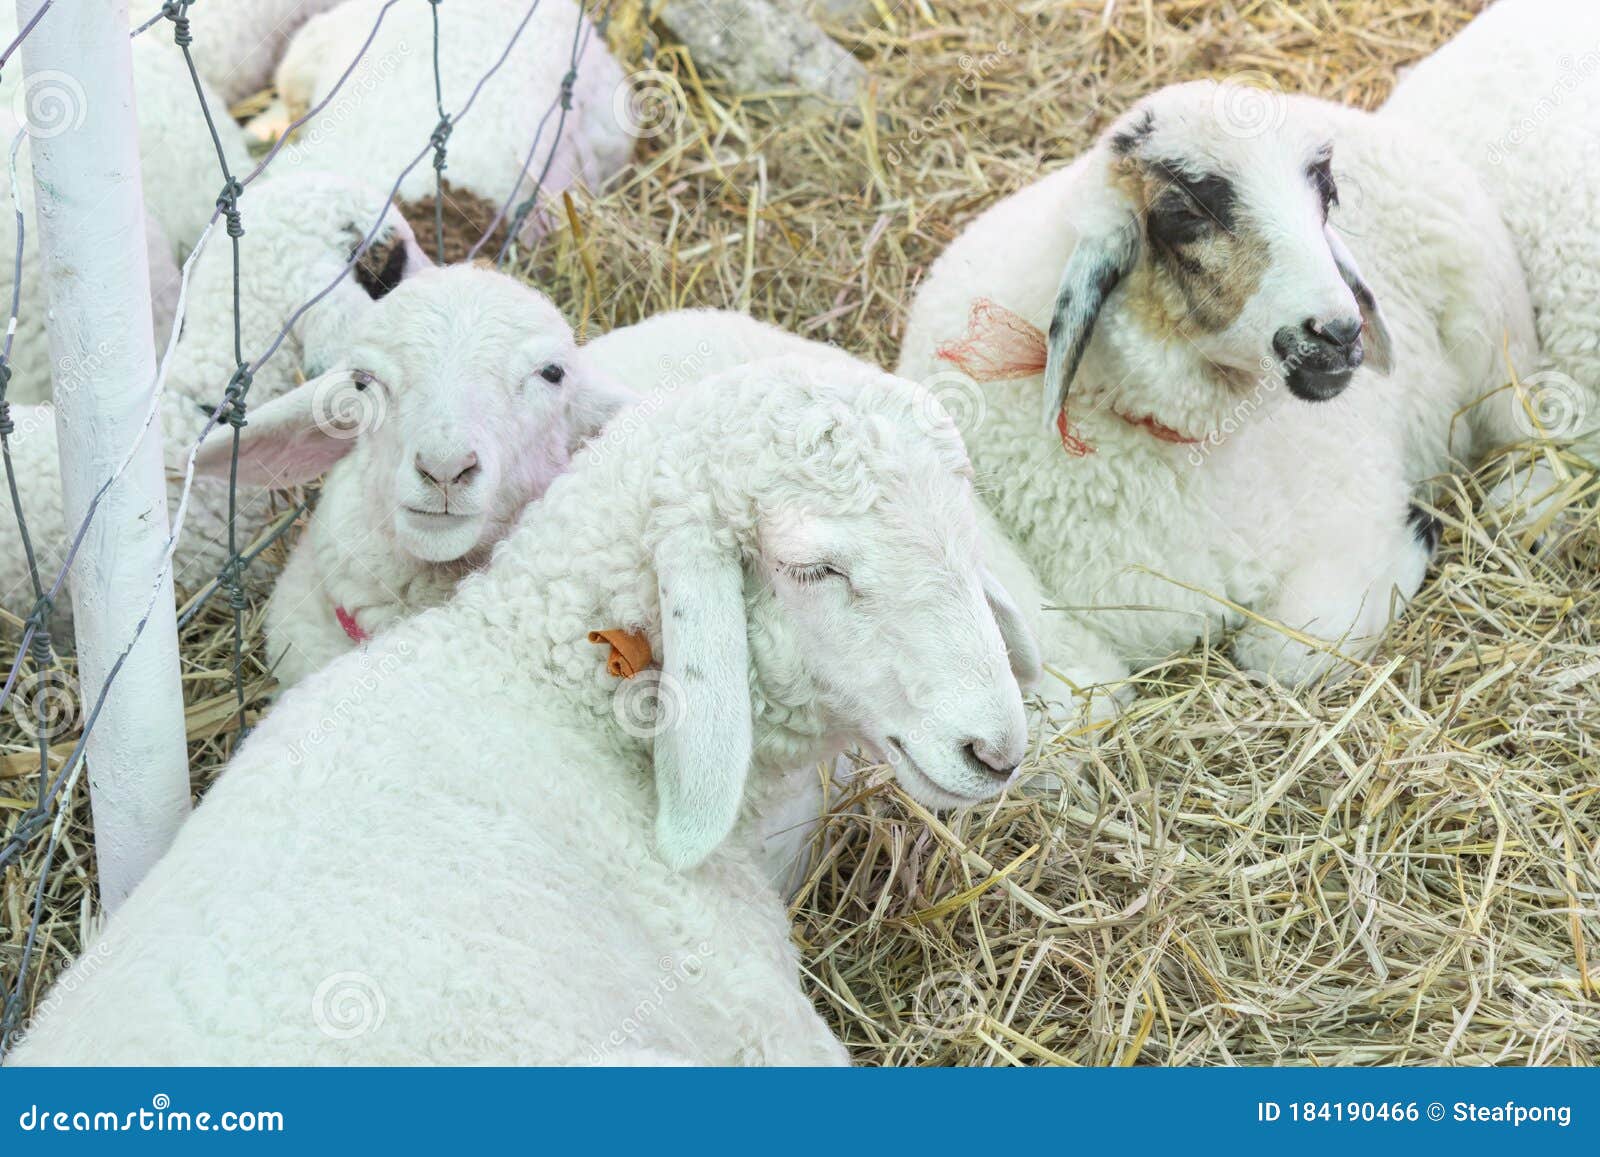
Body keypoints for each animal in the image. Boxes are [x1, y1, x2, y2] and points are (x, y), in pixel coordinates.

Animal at [895, 80, 1538, 702]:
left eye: (1326, 200)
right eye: (1186, 213)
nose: (1340, 333)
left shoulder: (1360, 506)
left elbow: (1286, 651)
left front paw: (1417, 533)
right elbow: (1090, 694)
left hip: (1494, 328)